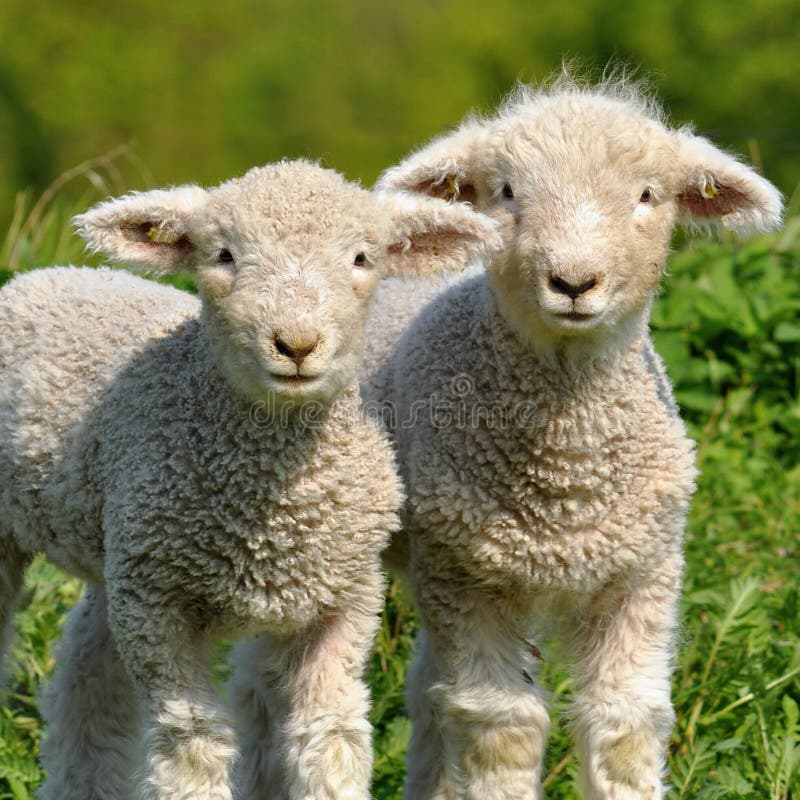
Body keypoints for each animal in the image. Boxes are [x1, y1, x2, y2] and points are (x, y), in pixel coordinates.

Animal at [0, 159, 501, 800]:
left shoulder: (346, 599)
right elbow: (194, 744)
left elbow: (332, 736)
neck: (272, 511)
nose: (296, 344)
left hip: (118, 554)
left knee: (88, 672)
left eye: (362, 258)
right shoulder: (157, 608)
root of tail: (47, 276)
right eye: (224, 255)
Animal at [360, 74, 783, 800]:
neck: (568, 478)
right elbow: (503, 726)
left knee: (426, 690)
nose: (574, 282)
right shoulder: (468, 578)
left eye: (647, 195)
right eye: (505, 191)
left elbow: (624, 723)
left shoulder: (642, 573)